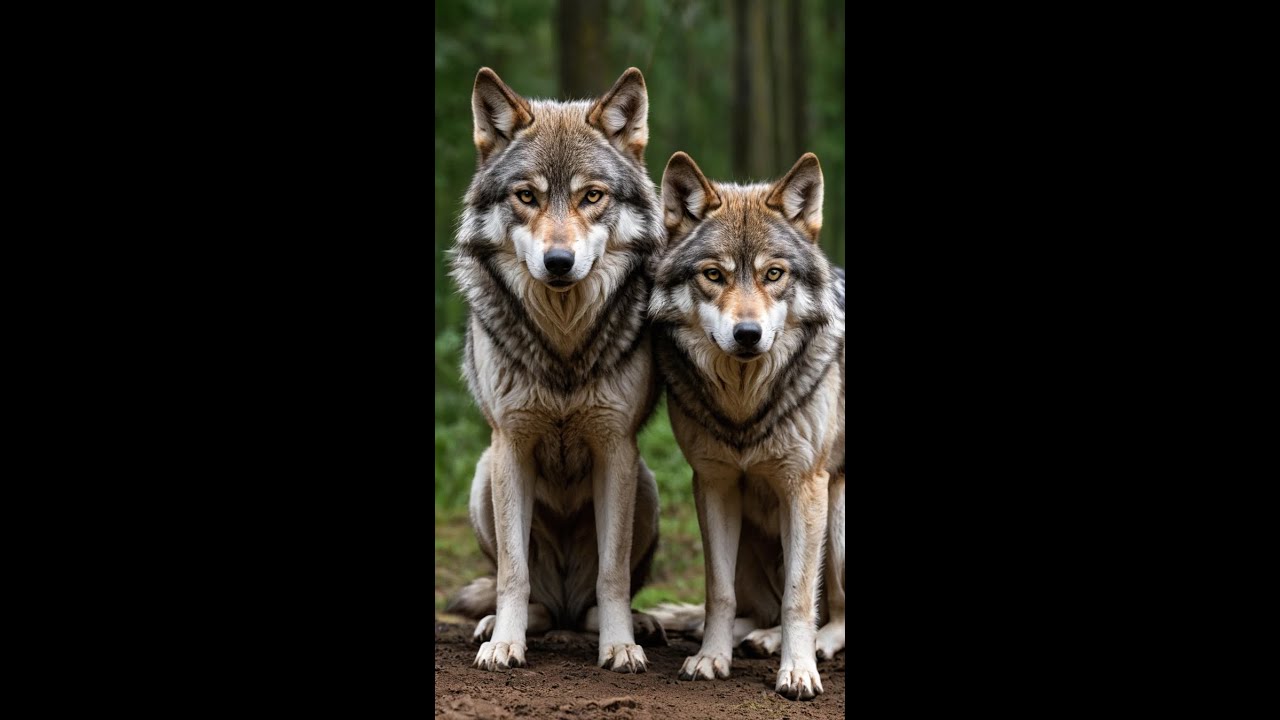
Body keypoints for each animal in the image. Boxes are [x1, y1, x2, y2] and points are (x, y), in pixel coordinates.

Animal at [444, 67, 669, 674]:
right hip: (483, 476)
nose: (559, 262)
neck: (564, 341)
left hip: (646, 488)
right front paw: (505, 644)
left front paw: (620, 646)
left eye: (592, 196)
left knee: (594, 598)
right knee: (532, 595)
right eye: (527, 196)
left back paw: (630, 624)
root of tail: (566, 604)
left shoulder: (616, 448)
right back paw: (504, 623)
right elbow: (512, 572)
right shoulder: (511, 444)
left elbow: (613, 575)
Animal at [645, 151, 846, 700]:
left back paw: (811, 645)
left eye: (773, 273)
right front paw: (710, 658)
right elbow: (718, 591)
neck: (744, 404)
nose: (748, 334)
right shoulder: (713, 484)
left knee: (833, 611)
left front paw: (798, 671)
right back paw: (752, 638)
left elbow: (799, 596)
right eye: (714, 275)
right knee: (759, 609)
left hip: (839, 518)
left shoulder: (805, 487)